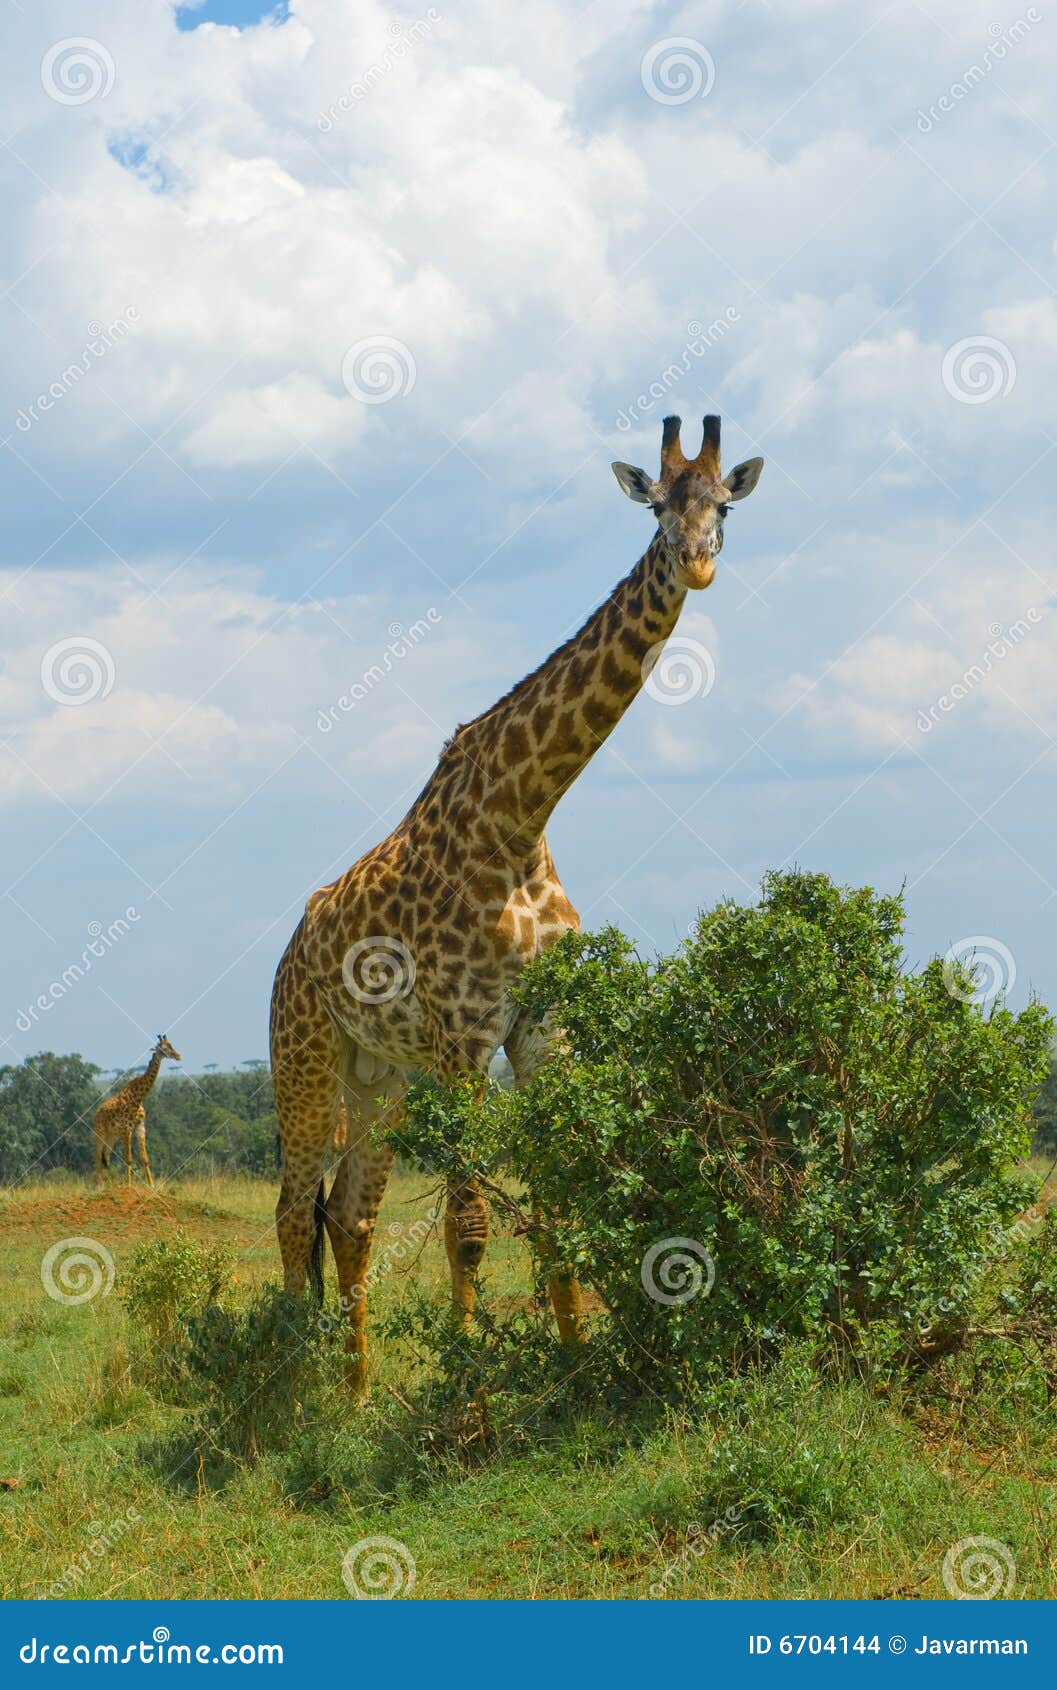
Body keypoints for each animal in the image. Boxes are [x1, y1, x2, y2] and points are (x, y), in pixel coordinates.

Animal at [93, 1034, 181, 1186]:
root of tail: (96, 1114)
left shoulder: (140, 1128)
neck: (138, 1097)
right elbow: (128, 1159)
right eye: (163, 1048)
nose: (178, 1056)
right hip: (100, 1132)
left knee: (106, 1156)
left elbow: (145, 1159)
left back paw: (107, 1184)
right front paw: (128, 1185)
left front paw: (152, 1186)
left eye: (171, 1044)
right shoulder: (126, 1129)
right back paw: (98, 1186)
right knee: (97, 1157)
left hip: (112, 1136)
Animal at [270, 414, 764, 1392]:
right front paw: (468, 1383)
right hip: (303, 1058)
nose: (695, 563)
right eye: (655, 505)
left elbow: (558, 1208)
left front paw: (570, 1374)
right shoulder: (464, 1034)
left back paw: (358, 1390)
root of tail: (289, 951)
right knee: (290, 1207)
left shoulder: (541, 1029)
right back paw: (292, 1382)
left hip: (380, 1076)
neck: (519, 816)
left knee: (348, 1212)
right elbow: (468, 1224)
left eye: (723, 505)